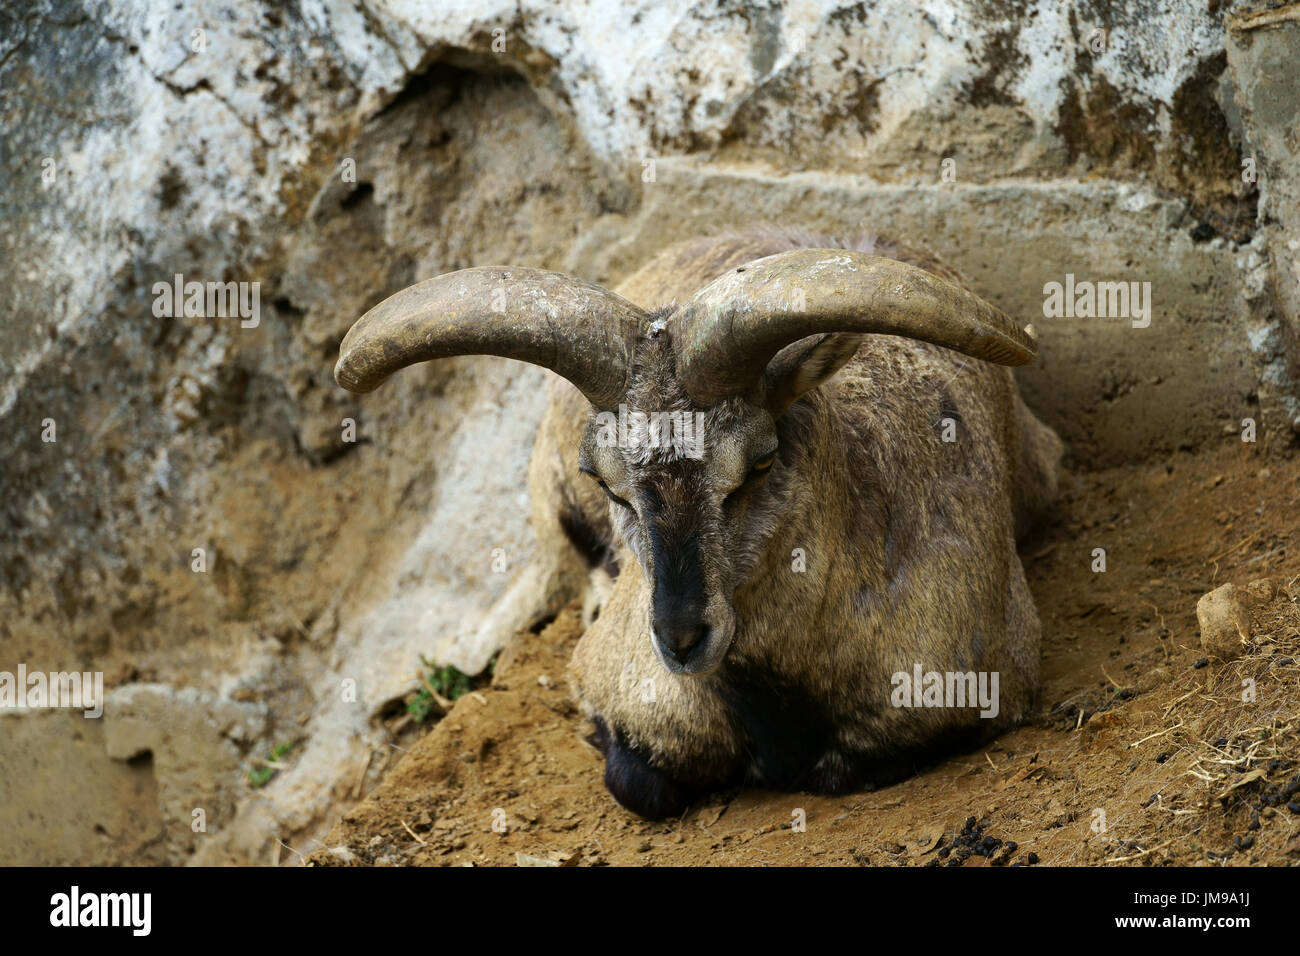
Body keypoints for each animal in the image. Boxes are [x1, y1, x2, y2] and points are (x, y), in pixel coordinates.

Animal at [335, 230, 1063, 819]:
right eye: (606, 480)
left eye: (761, 461)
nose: (681, 637)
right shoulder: (613, 682)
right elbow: (635, 781)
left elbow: (843, 768)